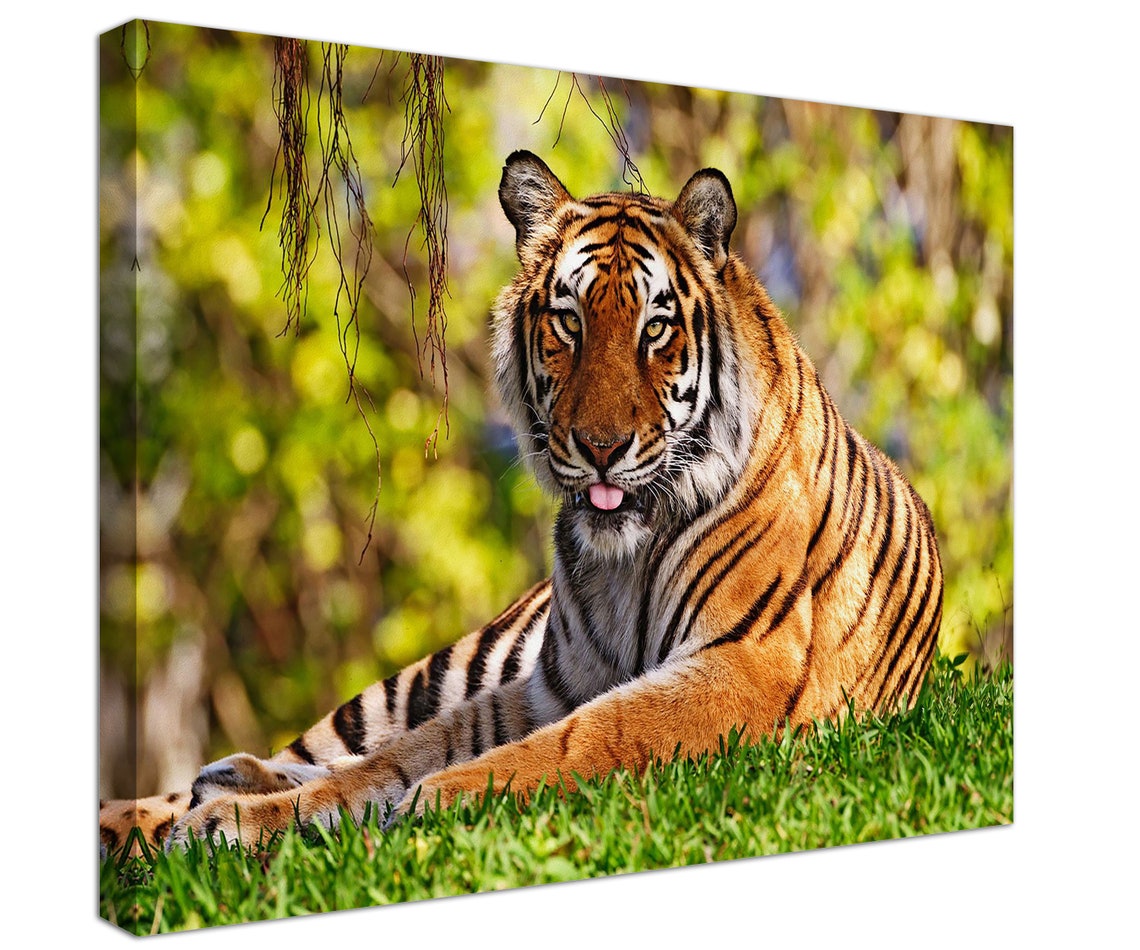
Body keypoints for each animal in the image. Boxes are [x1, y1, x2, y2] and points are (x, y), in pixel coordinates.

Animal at [100, 150, 943, 857]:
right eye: (568, 320)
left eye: (655, 328)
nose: (600, 445)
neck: (621, 561)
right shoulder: (550, 683)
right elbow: (402, 754)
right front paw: (240, 823)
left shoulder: (745, 664)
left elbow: (584, 737)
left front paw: (437, 799)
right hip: (424, 675)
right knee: (324, 750)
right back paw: (190, 797)